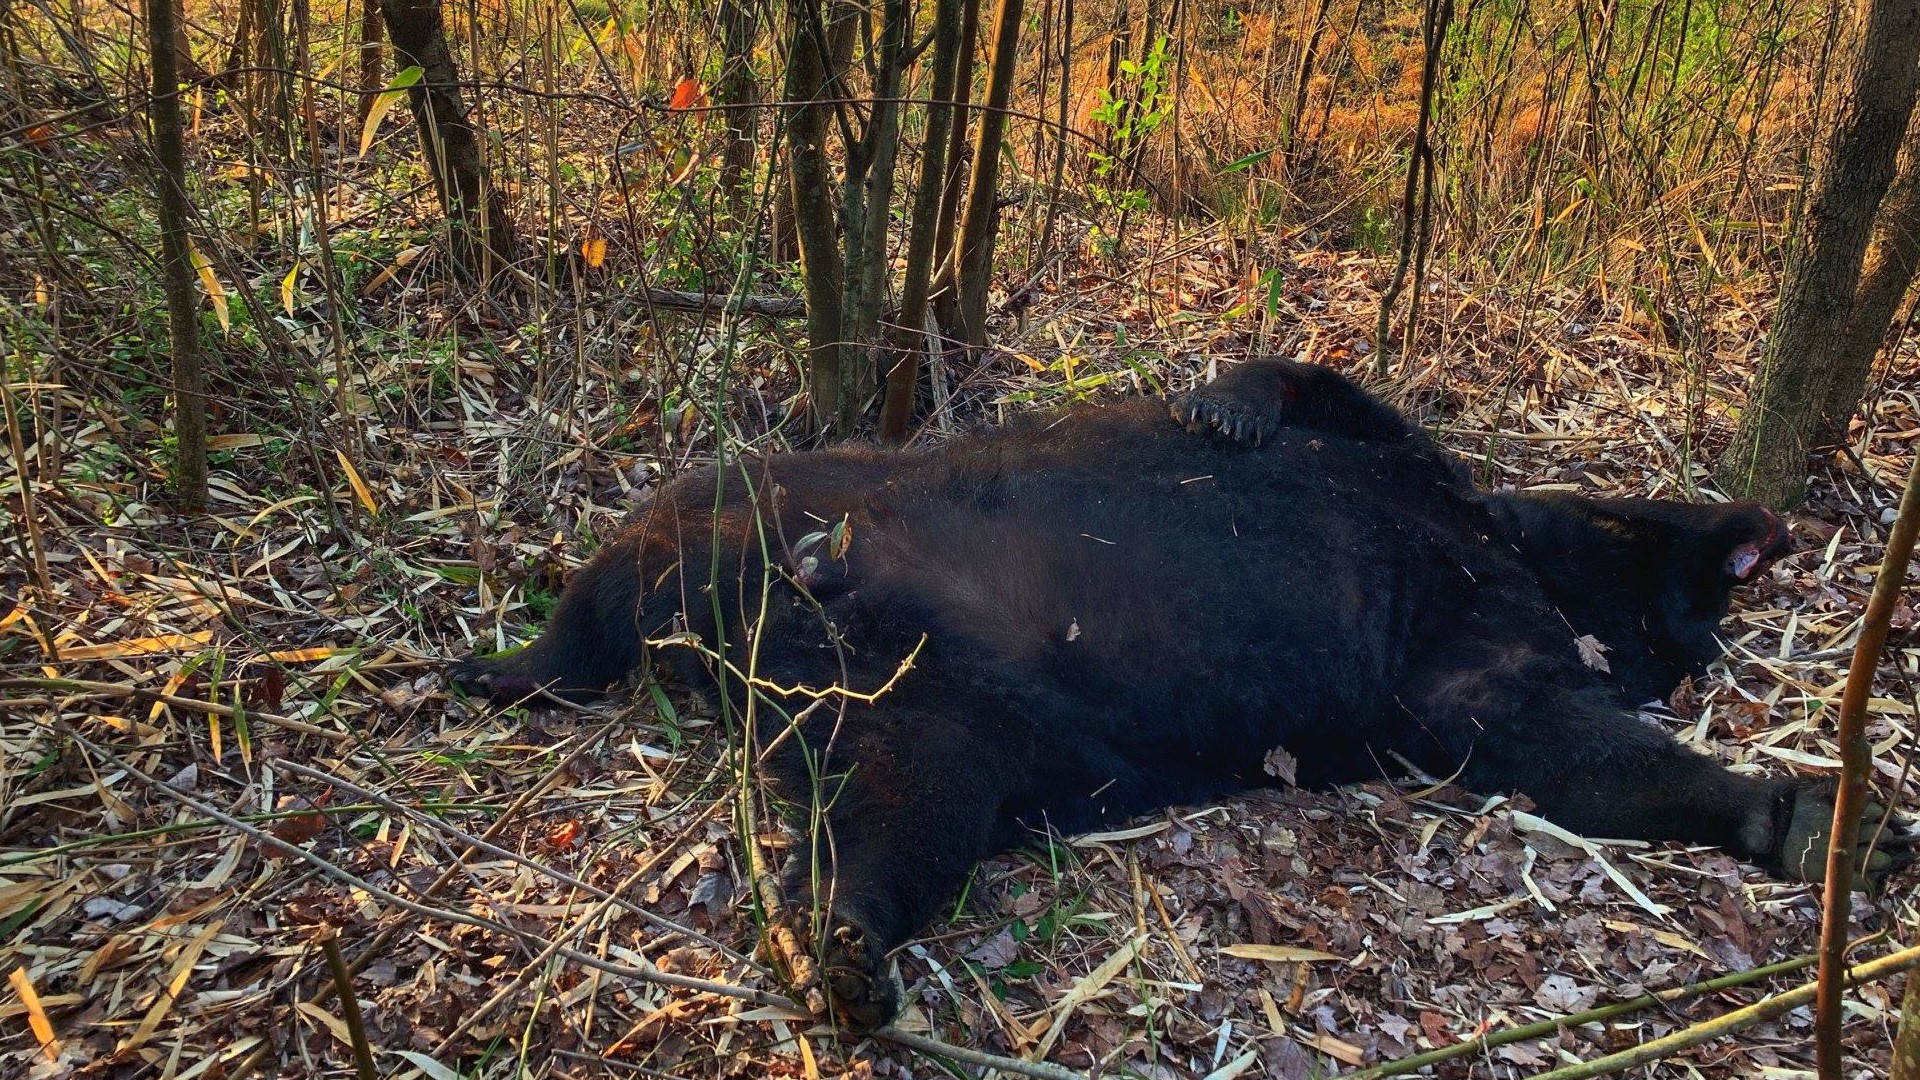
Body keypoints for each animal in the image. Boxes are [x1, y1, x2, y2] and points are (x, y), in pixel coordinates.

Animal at [452, 358, 1881, 1031]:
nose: (1760, 543)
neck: (1517, 557)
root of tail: (760, 649)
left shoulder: (1491, 682)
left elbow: (1600, 762)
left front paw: (1809, 819)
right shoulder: (1413, 464)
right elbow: (1313, 378)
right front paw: (1227, 407)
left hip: (941, 741)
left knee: (885, 839)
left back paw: (844, 957)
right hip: (739, 491)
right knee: (599, 596)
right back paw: (496, 665)